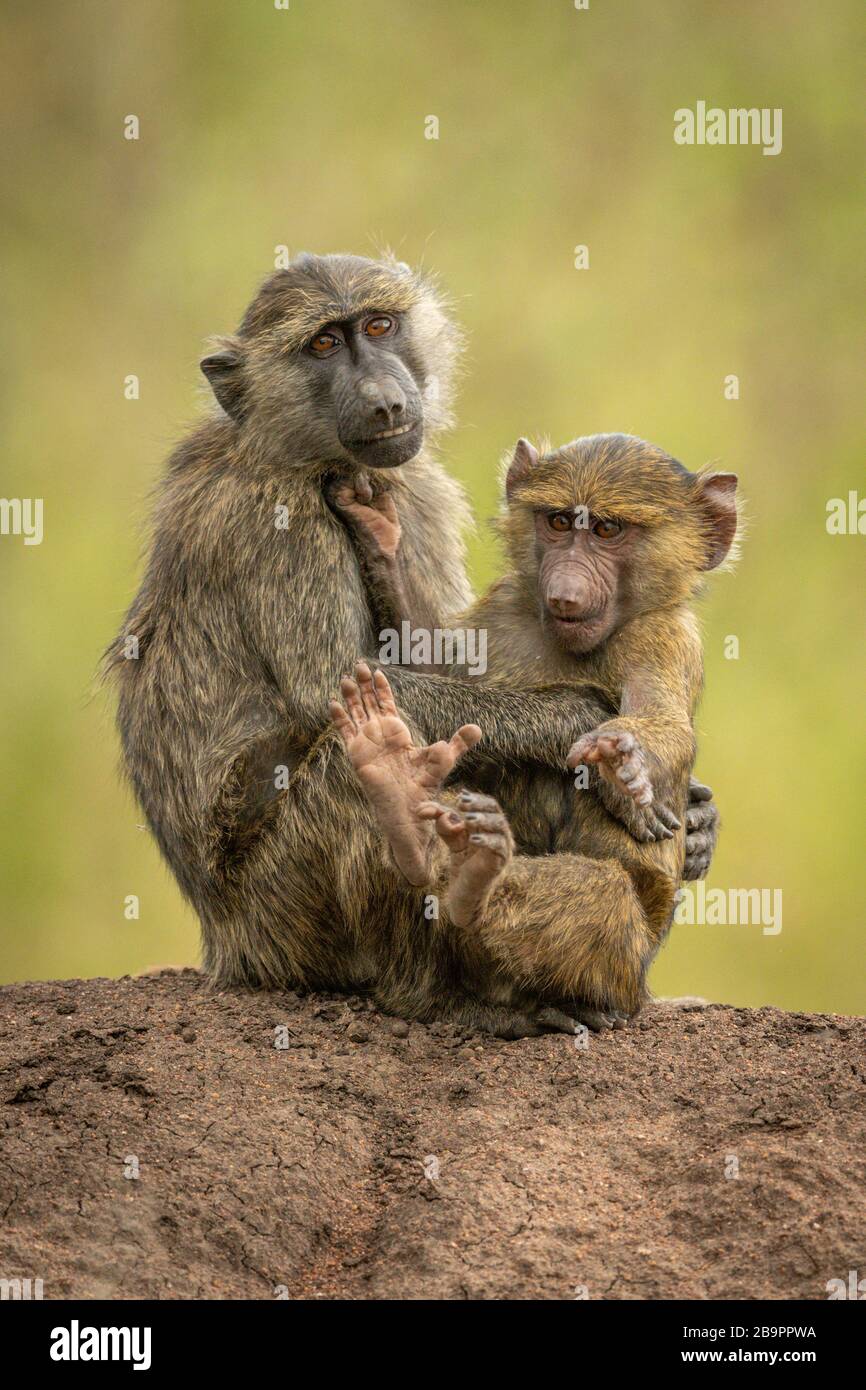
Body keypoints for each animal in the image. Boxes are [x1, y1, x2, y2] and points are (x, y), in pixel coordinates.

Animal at [327, 434, 738, 1016]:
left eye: (608, 530)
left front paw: (623, 756)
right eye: (560, 522)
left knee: (600, 897)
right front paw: (380, 531)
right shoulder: (502, 608)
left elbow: (663, 720)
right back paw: (403, 805)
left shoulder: (662, 638)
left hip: (623, 965)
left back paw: (462, 869)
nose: (565, 591)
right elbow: (426, 661)